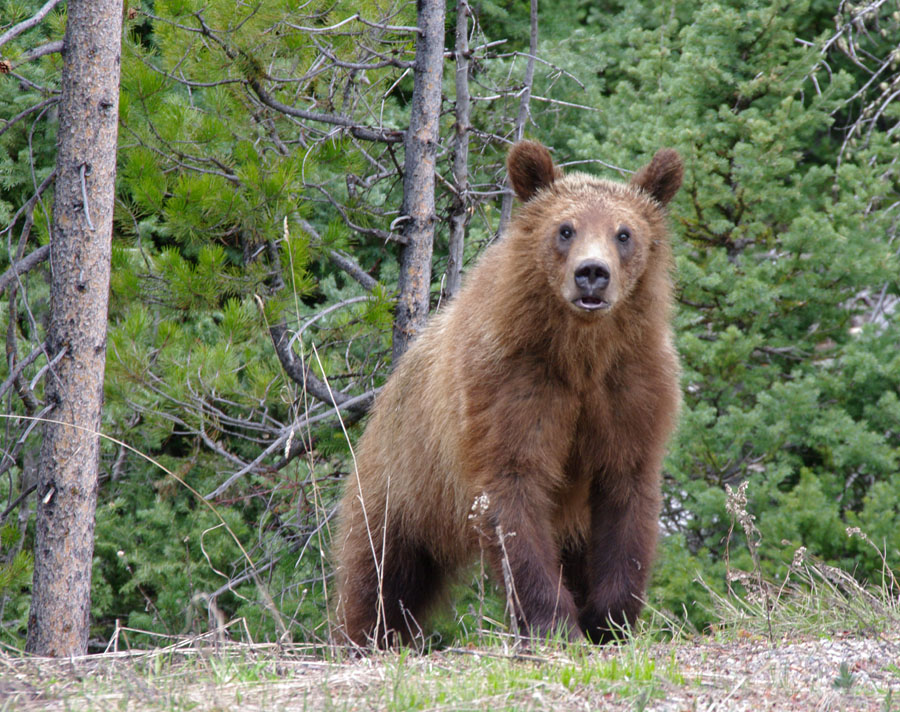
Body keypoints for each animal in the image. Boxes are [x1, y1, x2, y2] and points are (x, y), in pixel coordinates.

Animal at [333, 140, 683, 647]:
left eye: (624, 233)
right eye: (565, 228)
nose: (592, 274)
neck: (580, 353)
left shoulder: (628, 389)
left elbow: (626, 491)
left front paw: (609, 620)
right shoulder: (512, 383)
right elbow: (514, 489)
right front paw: (554, 624)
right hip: (402, 484)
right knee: (381, 572)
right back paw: (368, 637)